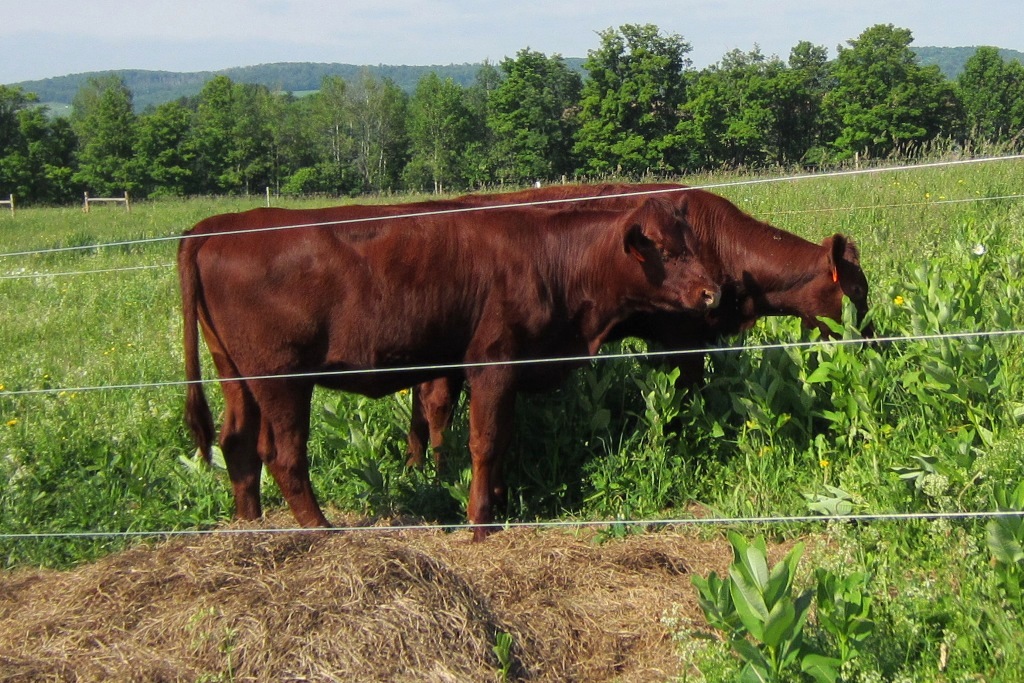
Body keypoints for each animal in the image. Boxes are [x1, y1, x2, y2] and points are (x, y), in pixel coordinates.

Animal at [178, 197, 722, 540]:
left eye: (692, 245)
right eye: (665, 251)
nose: (711, 292)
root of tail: (217, 225)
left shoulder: (509, 370)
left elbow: (502, 438)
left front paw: (500, 501)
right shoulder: (491, 362)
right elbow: (485, 441)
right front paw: (480, 522)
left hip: (235, 375)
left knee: (237, 444)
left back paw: (250, 525)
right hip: (282, 380)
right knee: (283, 455)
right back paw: (321, 531)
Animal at [403, 183, 873, 469]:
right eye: (856, 292)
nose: (873, 343)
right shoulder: (683, 338)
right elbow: (689, 393)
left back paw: (417, 467)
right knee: (436, 402)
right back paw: (438, 471)